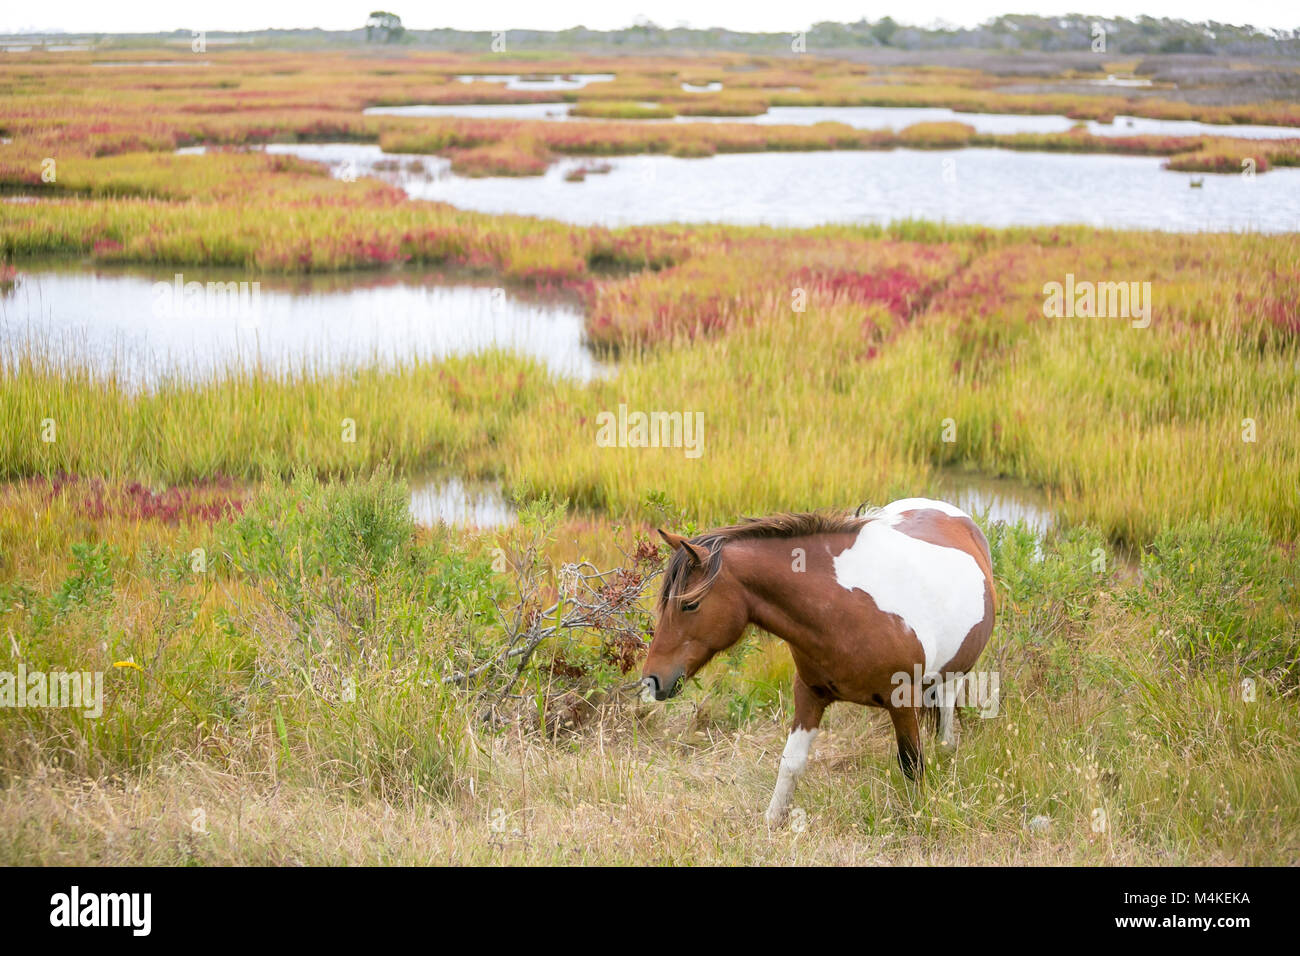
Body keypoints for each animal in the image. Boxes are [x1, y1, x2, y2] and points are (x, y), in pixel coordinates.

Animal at [641, 497, 997, 826]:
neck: (845, 608)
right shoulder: (809, 693)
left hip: (952, 677)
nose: (652, 680)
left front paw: (920, 816)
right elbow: (791, 762)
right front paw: (772, 820)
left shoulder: (903, 699)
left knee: (945, 736)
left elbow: (912, 763)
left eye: (690, 605)